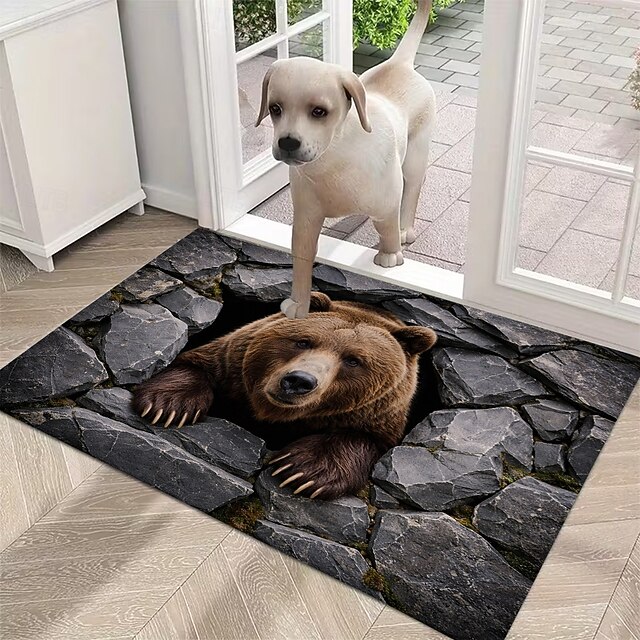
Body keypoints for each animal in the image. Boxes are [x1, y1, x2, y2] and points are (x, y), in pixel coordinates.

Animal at [132, 292, 437, 499]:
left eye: (354, 360)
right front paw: (168, 406)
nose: (299, 381)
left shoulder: (378, 417)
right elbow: (195, 365)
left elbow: (363, 440)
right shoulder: (231, 365)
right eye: (303, 341)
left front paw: (300, 471)